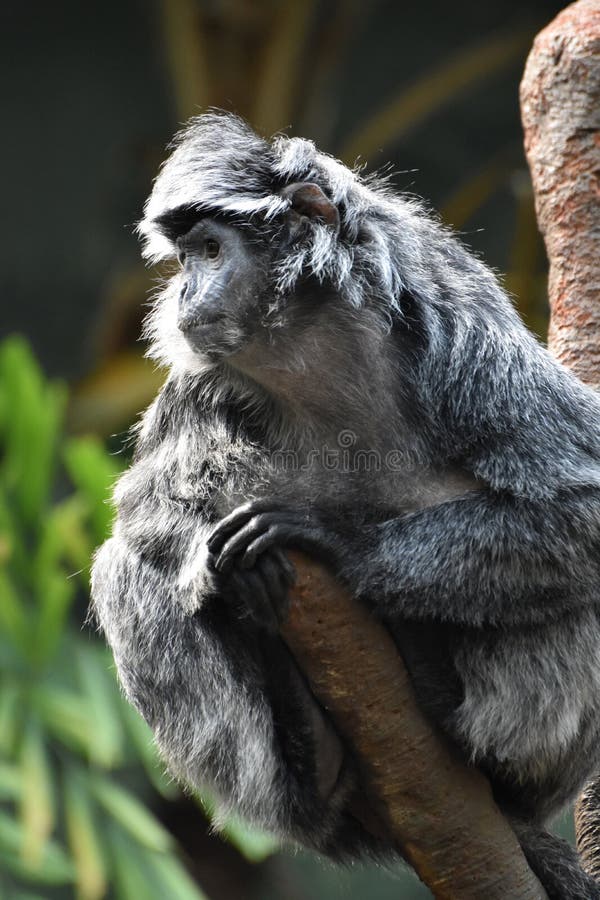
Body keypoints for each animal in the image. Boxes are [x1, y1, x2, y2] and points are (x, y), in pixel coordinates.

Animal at [91, 112, 600, 899]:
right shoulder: (203, 383)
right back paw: (312, 754)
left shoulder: (454, 320)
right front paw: (224, 577)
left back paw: (460, 722)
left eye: (210, 251)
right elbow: (145, 516)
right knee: (120, 567)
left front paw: (335, 543)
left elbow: (583, 502)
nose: (181, 292)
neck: (312, 347)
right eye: (184, 257)